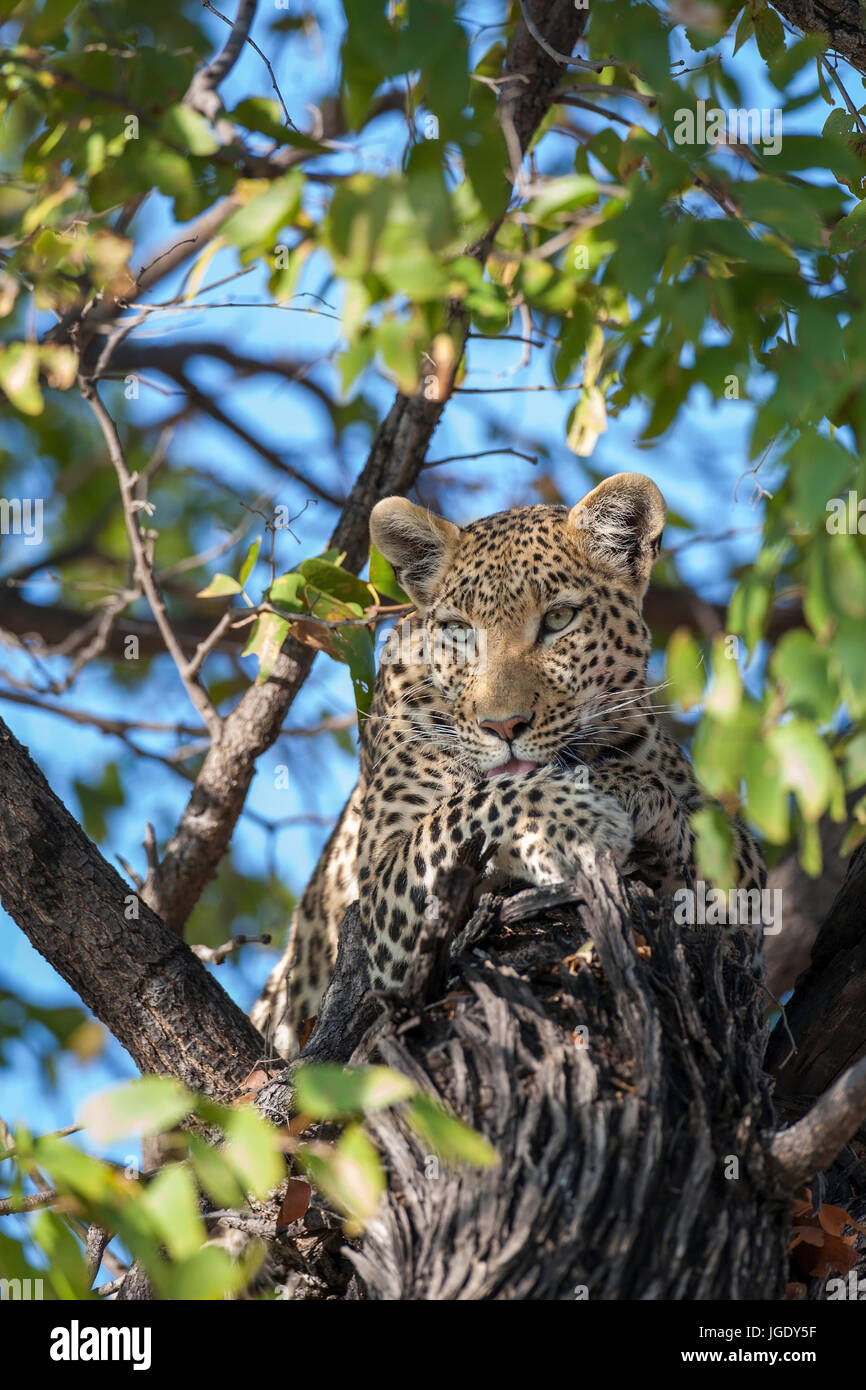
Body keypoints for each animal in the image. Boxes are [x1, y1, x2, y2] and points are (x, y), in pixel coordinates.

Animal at [252, 472, 765, 1057]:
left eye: (559, 620)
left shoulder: (745, 869)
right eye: (459, 631)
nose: (503, 726)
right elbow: (477, 801)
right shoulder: (379, 884)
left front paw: (639, 799)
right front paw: (580, 818)